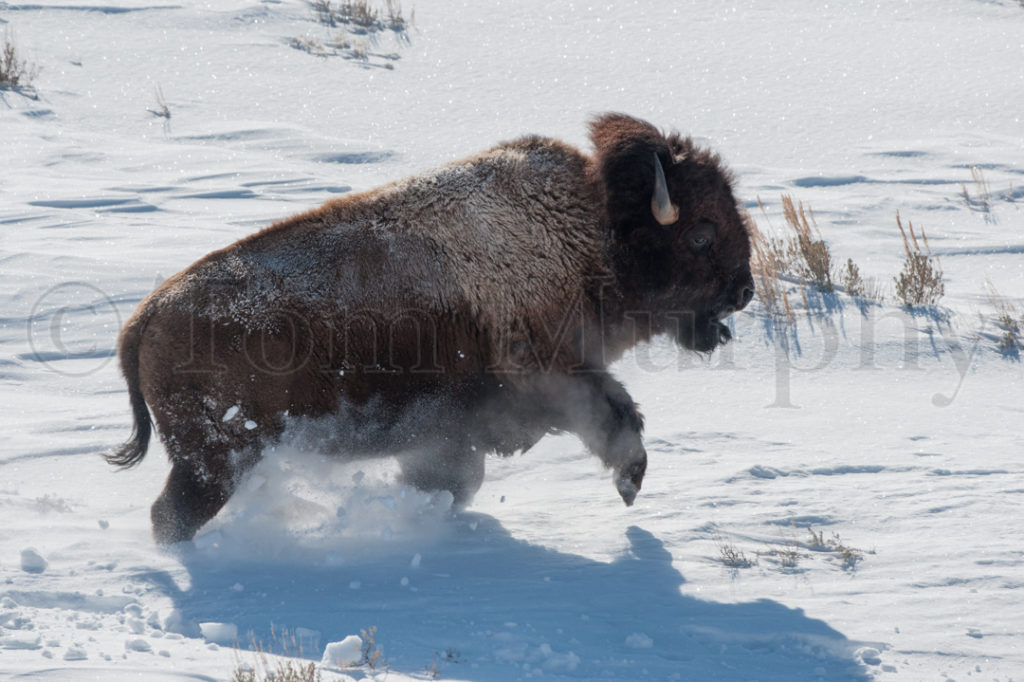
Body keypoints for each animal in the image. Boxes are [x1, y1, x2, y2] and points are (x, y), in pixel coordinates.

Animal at [107, 113, 754, 544]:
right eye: (701, 233)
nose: (745, 291)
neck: (594, 230)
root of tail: (144, 319)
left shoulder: (452, 435)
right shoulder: (557, 375)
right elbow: (617, 415)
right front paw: (630, 481)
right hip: (215, 463)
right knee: (172, 516)